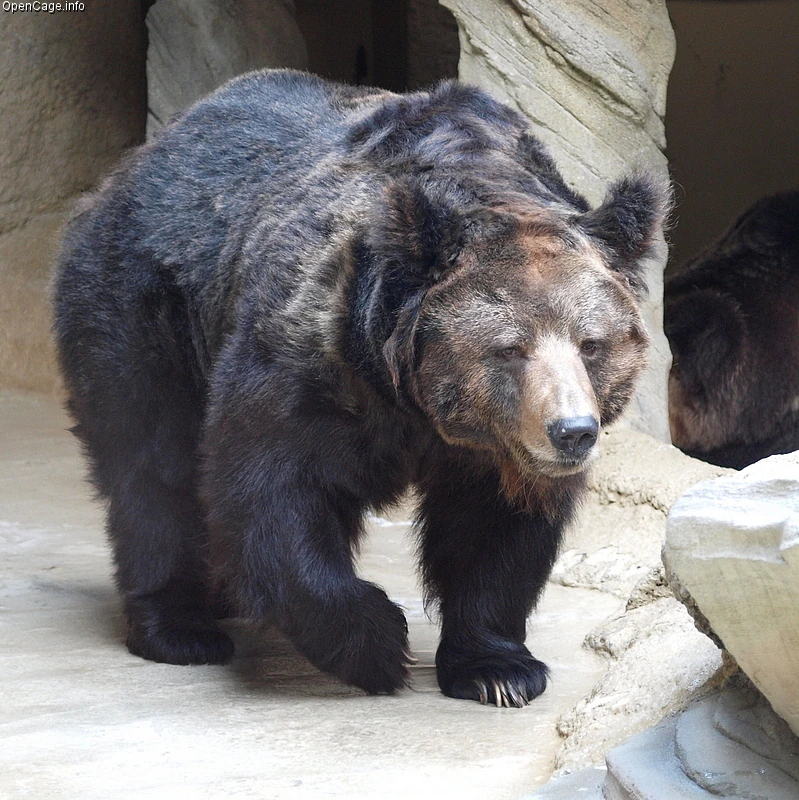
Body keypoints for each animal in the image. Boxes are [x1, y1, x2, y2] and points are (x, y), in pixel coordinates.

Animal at [53, 70, 667, 707]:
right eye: (510, 348)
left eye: (591, 343)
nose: (573, 432)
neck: (415, 399)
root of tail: (137, 162)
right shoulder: (315, 353)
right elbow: (273, 489)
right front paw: (379, 642)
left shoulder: (497, 447)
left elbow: (495, 528)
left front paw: (498, 669)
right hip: (143, 307)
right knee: (151, 463)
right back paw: (180, 627)